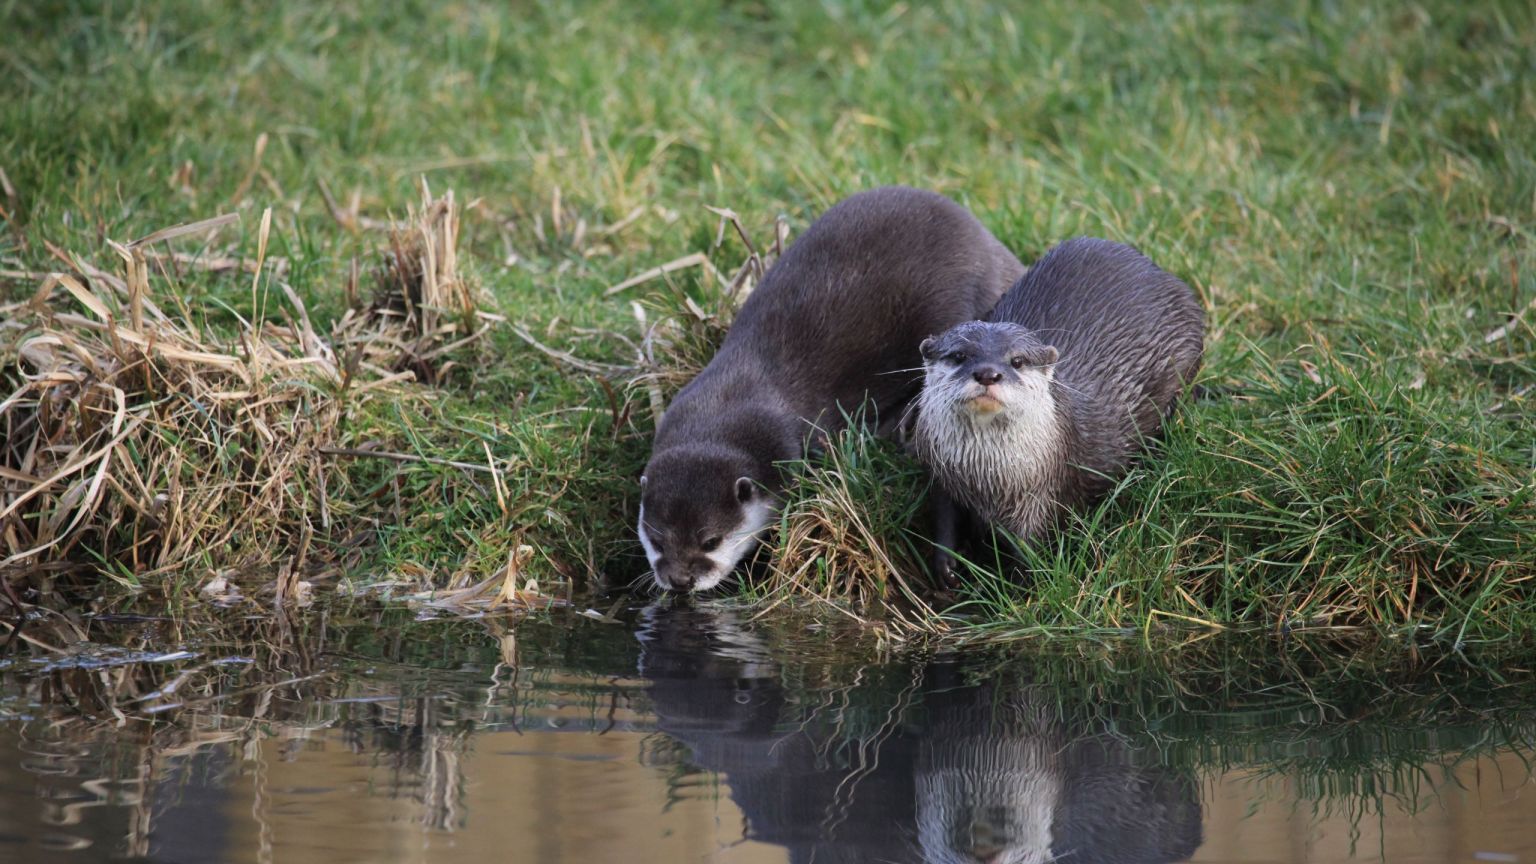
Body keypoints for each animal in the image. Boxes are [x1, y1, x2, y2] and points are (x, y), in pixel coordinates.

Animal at [913, 237, 1204, 573]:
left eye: (1017, 361)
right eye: (959, 355)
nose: (988, 373)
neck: (986, 480)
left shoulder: (1042, 497)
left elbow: (1029, 551)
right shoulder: (942, 477)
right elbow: (944, 521)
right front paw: (946, 566)